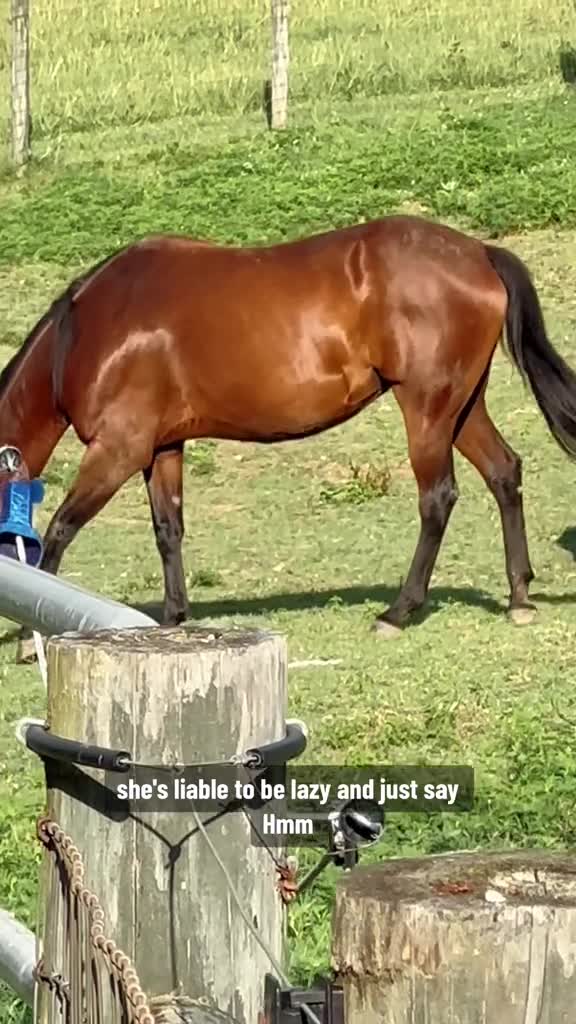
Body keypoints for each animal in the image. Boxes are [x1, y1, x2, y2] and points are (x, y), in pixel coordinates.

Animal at [1, 213, 576, 646]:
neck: (85, 333)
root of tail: (478, 253)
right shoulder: (162, 447)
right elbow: (168, 531)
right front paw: (173, 618)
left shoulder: (119, 448)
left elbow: (60, 529)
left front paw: (32, 641)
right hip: (463, 407)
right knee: (504, 472)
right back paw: (519, 597)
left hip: (428, 409)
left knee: (438, 498)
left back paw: (397, 612)